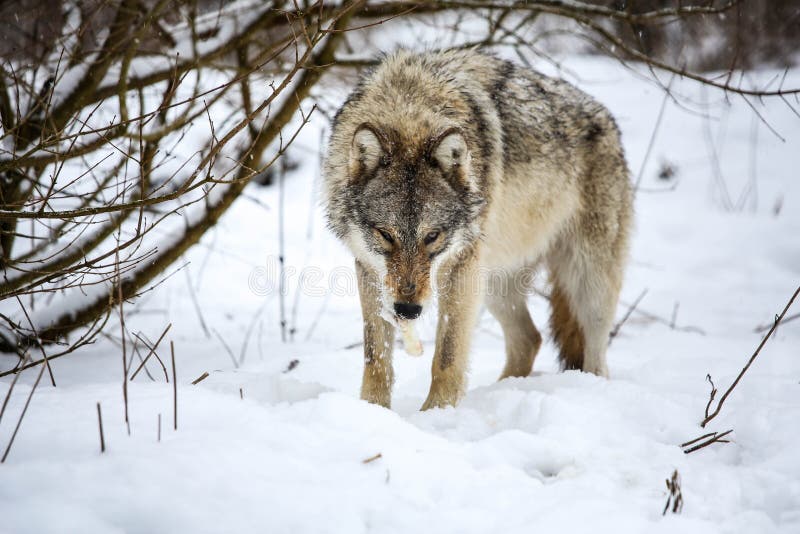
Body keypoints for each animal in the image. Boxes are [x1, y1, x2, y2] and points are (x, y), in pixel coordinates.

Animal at [324, 49, 632, 410]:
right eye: (386, 235)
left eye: (432, 236)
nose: (408, 310)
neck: (408, 108)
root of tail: (606, 117)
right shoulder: (370, 269)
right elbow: (376, 356)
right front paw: (372, 411)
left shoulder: (461, 268)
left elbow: (447, 355)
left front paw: (437, 412)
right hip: (494, 282)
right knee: (530, 338)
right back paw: (502, 392)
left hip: (586, 283)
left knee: (595, 352)